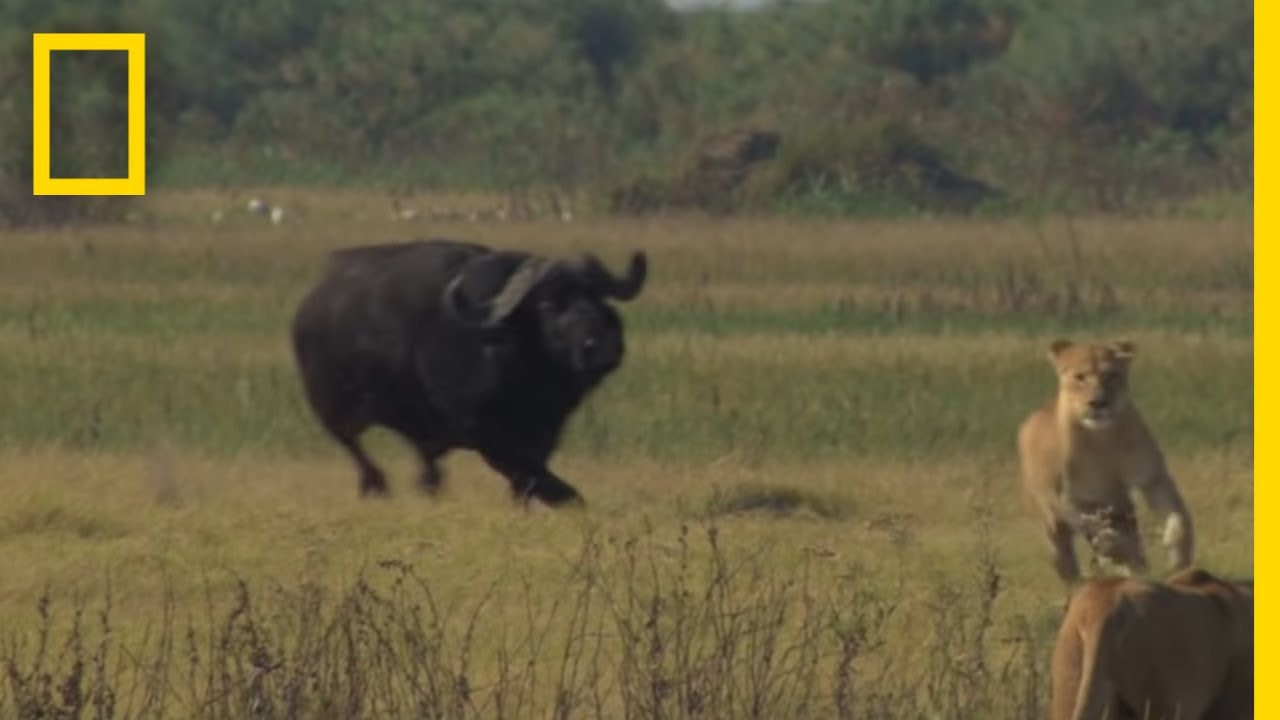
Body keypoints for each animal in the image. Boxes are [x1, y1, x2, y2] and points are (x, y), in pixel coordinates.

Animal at [290, 238, 647, 507]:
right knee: (355, 447)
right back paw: (377, 485)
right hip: (334, 407)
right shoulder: (484, 433)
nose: (600, 346)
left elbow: (530, 475)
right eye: (548, 304)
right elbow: (533, 474)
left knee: (425, 464)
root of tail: (309, 307)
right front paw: (568, 498)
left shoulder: (545, 432)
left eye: (598, 297)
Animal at [1017, 338, 1194, 582]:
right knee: (1065, 555)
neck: (1101, 438)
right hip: (1050, 516)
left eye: (1112, 375)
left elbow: (1179, 517)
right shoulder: (1065, 496)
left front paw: (1177, 555)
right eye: (1080, 377)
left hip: (1119, 503)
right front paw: (1117, 552)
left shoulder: (1153, 478)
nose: (1098, 402)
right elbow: (1096, 530)